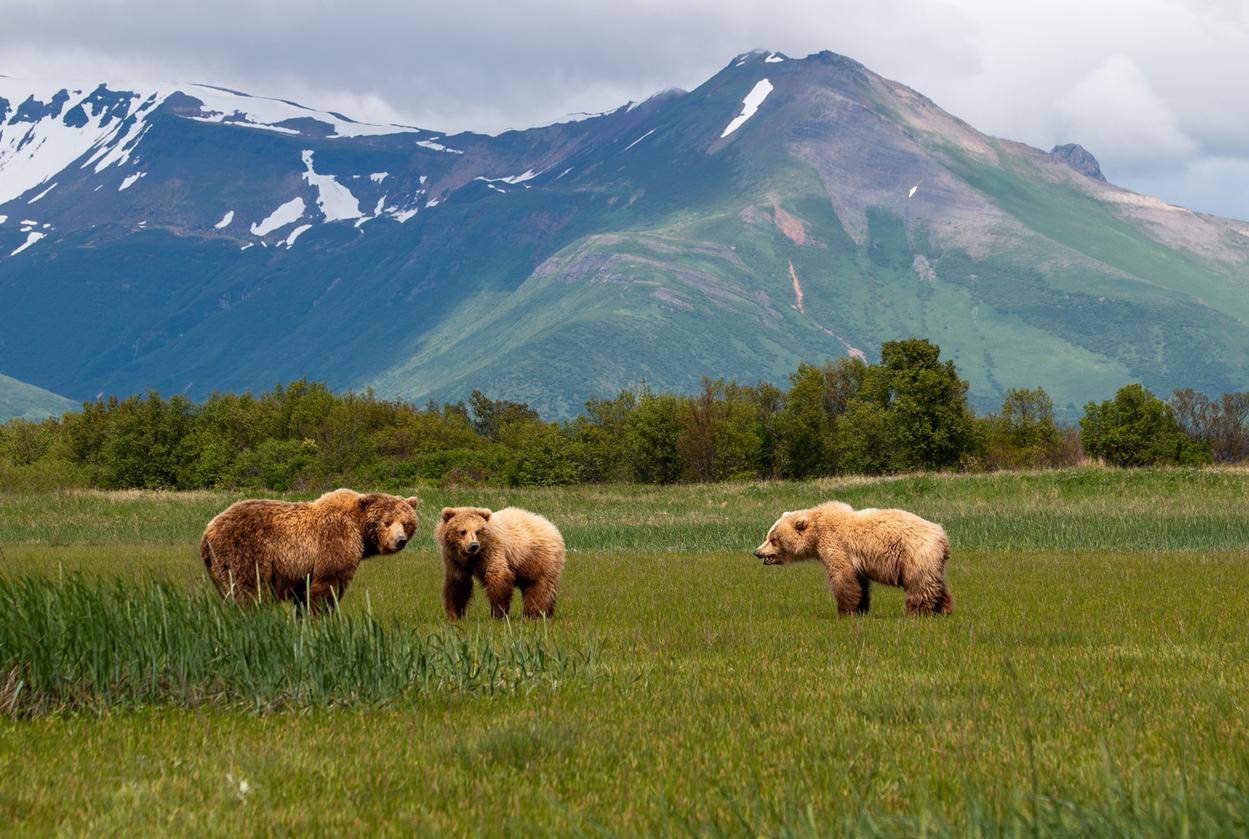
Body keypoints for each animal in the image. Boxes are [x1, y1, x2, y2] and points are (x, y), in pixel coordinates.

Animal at [200, 488, 419, 613]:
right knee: (248, 590)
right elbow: (325, 587)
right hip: (243, 551)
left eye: (406, 522)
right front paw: (320, 616)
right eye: (386, 522)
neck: (359, 529)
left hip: (217, 568)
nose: (400, 541)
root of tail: (207, 531)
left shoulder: (301, 572)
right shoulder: (333, 543)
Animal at [434, 506, 566, 619]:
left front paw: (497, 613)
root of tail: (553, 527)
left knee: (539, 586)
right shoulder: (453, 559)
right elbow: (457, 583)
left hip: (539, 558)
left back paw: (534, 613)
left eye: (478, 531)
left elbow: (497, 577)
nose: (473, 545)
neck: (471, 557)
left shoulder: (491, 551)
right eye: (462, 531)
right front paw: (454, 614)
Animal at [753, 501, 953, 616]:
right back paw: (943, 609)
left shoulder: (836, 545)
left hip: (916, 553)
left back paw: (917, 612)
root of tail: (942, 535)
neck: (816, 533)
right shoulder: (855, 560)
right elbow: (860, 583)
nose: (757, 552)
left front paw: (844, 611)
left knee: (919, 583)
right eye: (768, 535)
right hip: (931, 560)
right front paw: (860, 609)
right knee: (935, 582)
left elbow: (842, 577)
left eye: (773, 539)